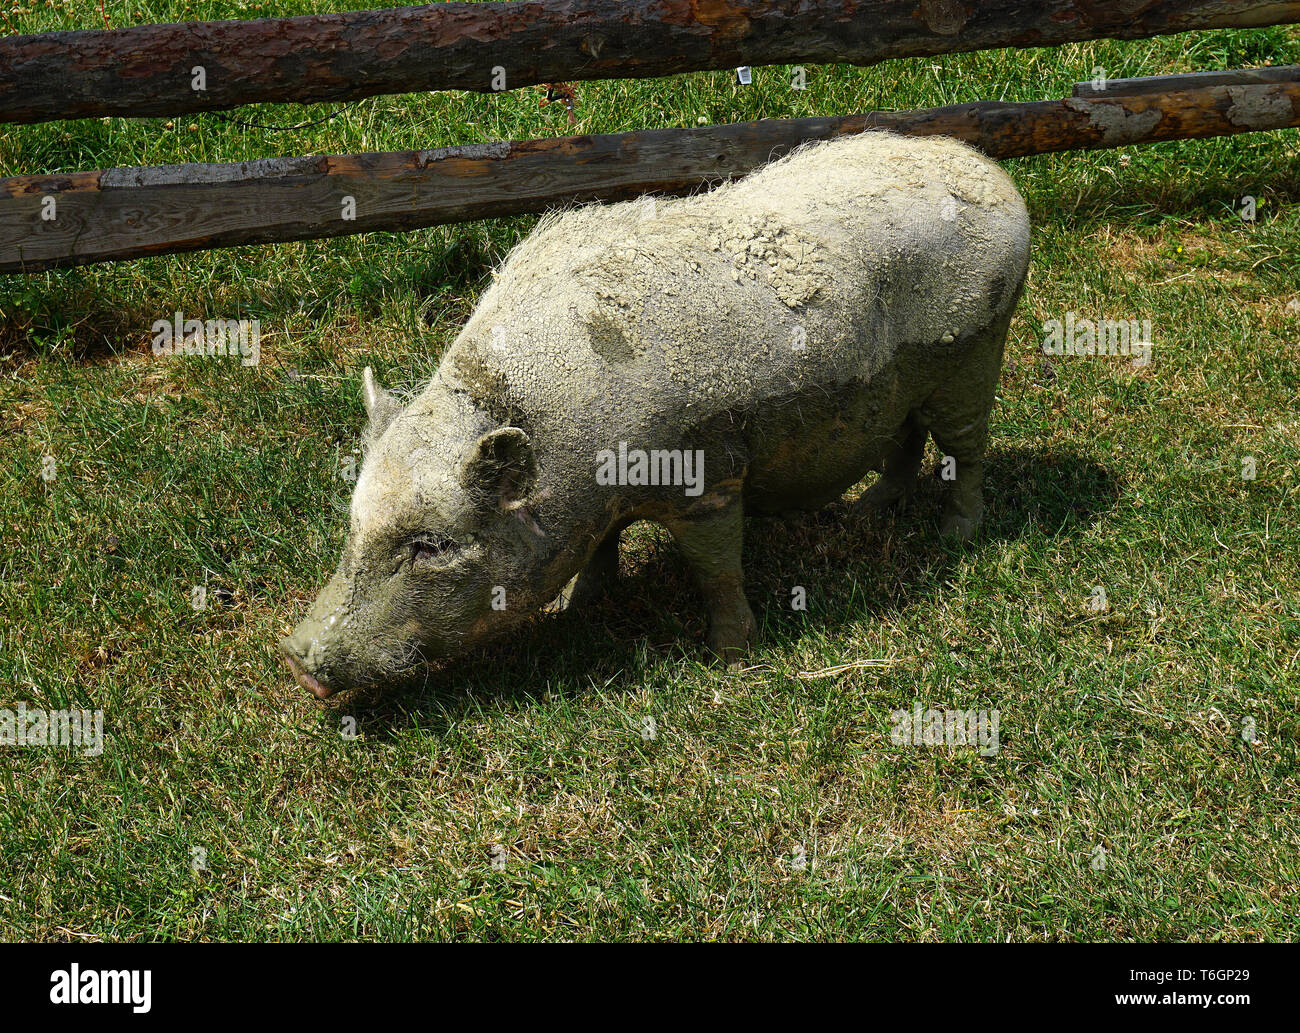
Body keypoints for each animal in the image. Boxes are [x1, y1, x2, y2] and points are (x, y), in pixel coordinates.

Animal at [282, 131, 1031, 698]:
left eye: (432, 545)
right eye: (353, 523)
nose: (296, 655)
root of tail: (994, 176)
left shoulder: (708, 473)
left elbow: (714, 566)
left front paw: (731, 656)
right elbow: (602, 551)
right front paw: (578, 607)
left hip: (974, 352)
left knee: (966, 448)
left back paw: (957, 535)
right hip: (906, 382)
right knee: (906, 438)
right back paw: (869, 511)